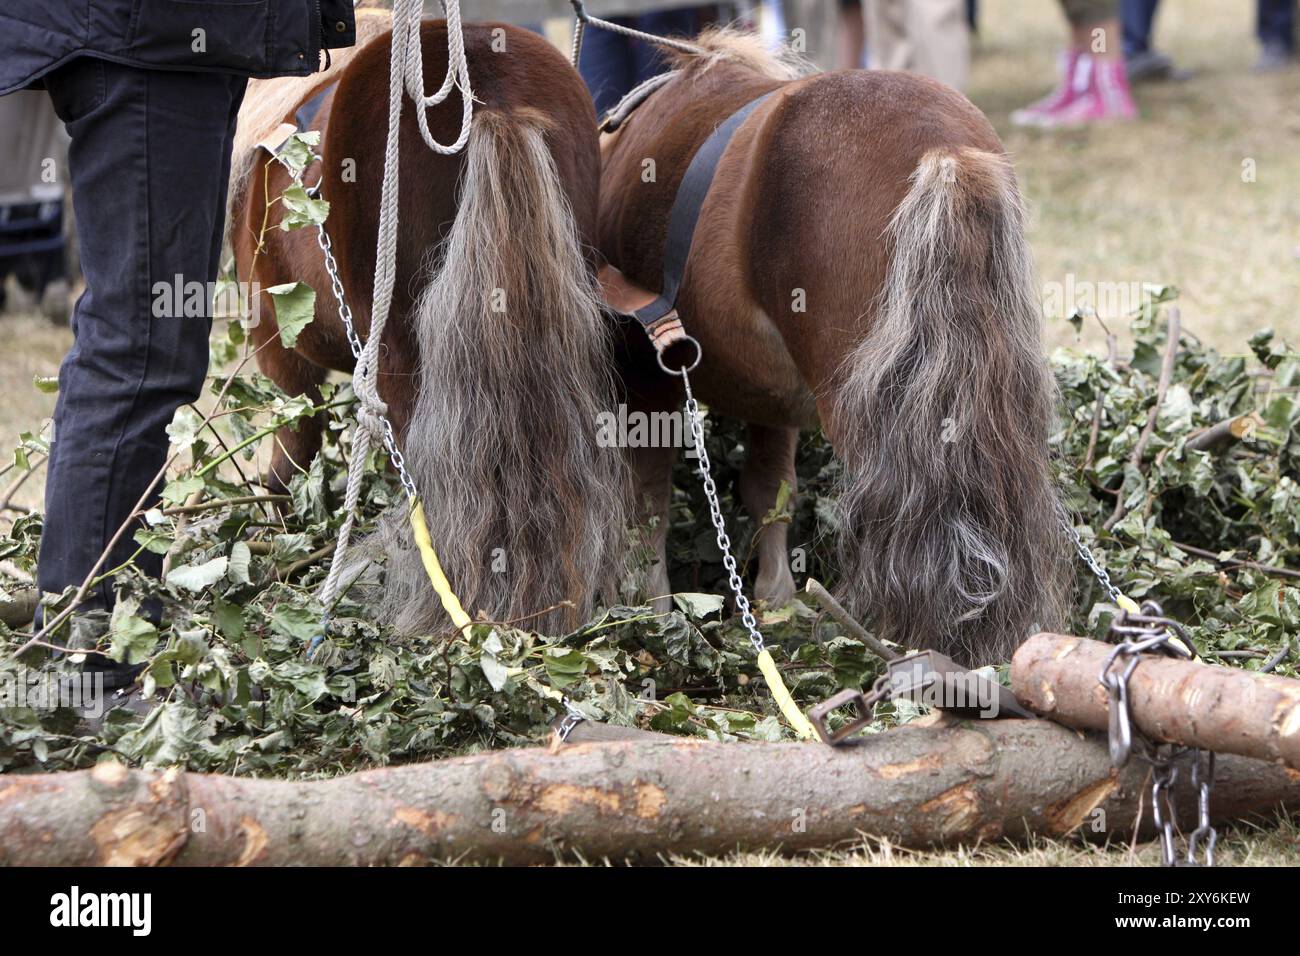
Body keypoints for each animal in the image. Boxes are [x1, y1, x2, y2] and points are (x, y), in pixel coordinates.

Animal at [598, 29, 1071, 665]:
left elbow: (648, 501)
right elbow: (770, 489)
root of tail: (944, 149)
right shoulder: (771, 400)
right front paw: (775, 598)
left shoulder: (649, 377)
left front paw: (654, 609)